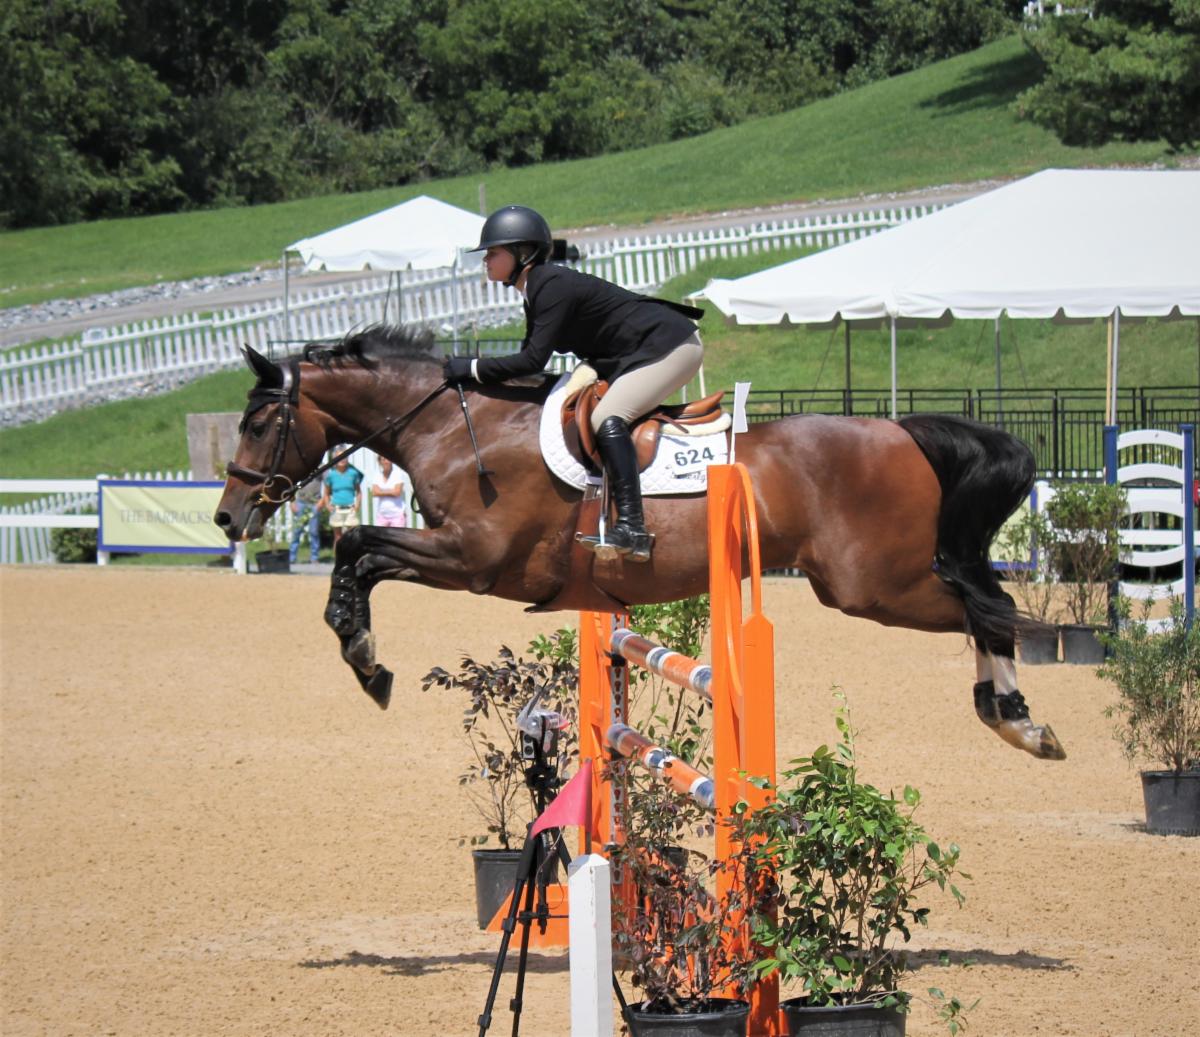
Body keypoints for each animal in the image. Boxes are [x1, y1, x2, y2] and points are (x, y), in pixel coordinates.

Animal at [215, 325, 1066, 761]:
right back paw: (1010, 715)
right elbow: (359, 554)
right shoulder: (464, 555)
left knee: (992, 607)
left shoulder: (474, 559)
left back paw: (1020, 722)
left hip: (874, 584)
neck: (459, 426)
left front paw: (364, 657)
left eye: (257, 423)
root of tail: (903, 430)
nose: (228, 518)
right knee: (984, 604)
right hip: (868, 582)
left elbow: (359, 545)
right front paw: (363, 652)